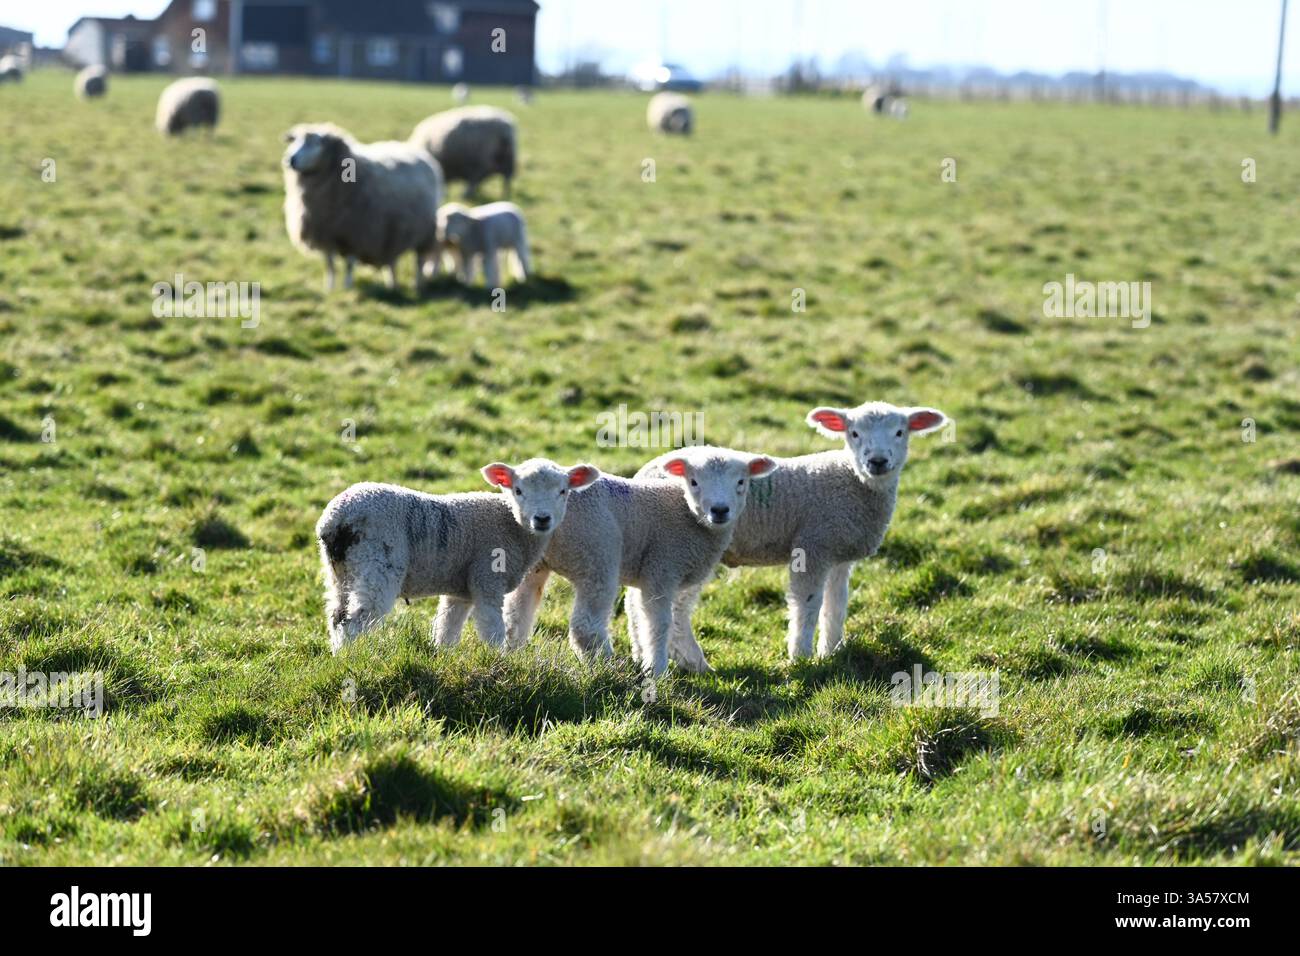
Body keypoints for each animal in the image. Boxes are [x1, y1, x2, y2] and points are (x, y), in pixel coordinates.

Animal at [283, 122, 445, 293]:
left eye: (316, 143)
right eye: (294, 140)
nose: (290, 159)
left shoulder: (355, 233)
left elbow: (349, 264)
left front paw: (347, 288)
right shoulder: (326, 235)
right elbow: (330, 265)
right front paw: (329, 289)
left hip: (424, 230)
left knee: (419, 260)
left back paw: (417, 285)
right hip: (393, 232)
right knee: (392, 262)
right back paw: (392, 285)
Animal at [317, 459, 600, 654]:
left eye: (563, 491)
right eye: (518, 490)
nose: (542, 519)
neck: (511, 524)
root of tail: (336, 518)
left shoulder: (460, 590)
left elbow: (447, 629)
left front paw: (442, 655)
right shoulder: (487, 579)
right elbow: (492, 629)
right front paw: (499, 662)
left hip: (341, 571)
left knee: (337, 617)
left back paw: (338, 656)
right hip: (377, 564)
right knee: (355, 621)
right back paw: (353, 658)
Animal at [504, 447, 776, 676]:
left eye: (741, 482)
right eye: (694, 482)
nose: (720, 510)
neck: (687, 514)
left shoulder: (654, 576)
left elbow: (649, 618)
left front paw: (654, 661)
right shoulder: (662, 568)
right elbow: (660, 623)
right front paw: (657, 670)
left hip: (532, 562)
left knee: (516, 612)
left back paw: (513, 654)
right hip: (596, 555)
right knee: (586, 626)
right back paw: (606, 665)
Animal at [636, 402, 949, 668]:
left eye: (899, 432)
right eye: (854, 433)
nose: (878, 461)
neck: (854, 482)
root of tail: (647, 472)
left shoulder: (840, 554)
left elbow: (836, 605)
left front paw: (832, 651)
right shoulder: (813, 545)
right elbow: (808, 604)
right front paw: (801, 656)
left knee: (636, 604)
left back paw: (642, 655)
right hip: (683, 546)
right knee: (676, 610)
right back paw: (694, 663)